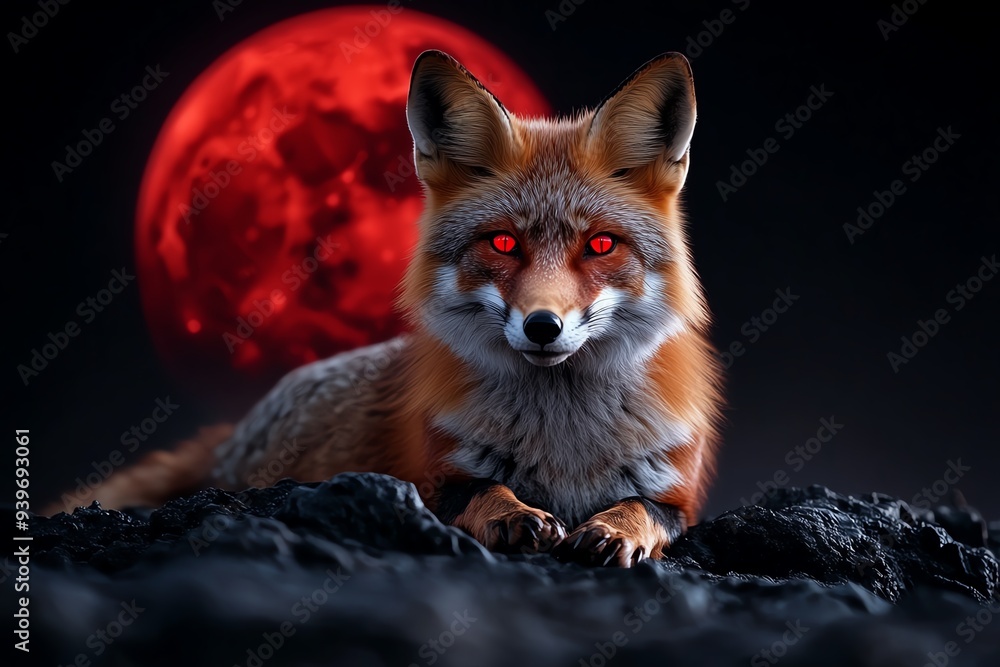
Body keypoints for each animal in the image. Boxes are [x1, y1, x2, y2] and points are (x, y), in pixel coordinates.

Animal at [49, 50, 723, 568]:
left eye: (601, 246)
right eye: (504, 243)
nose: (542, 325)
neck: (563, 449)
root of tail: (239, 430)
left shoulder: (678, 493)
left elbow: (643, 509)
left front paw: (613, 528)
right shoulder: (435, 474)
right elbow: (483, 493)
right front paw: (515, 515)